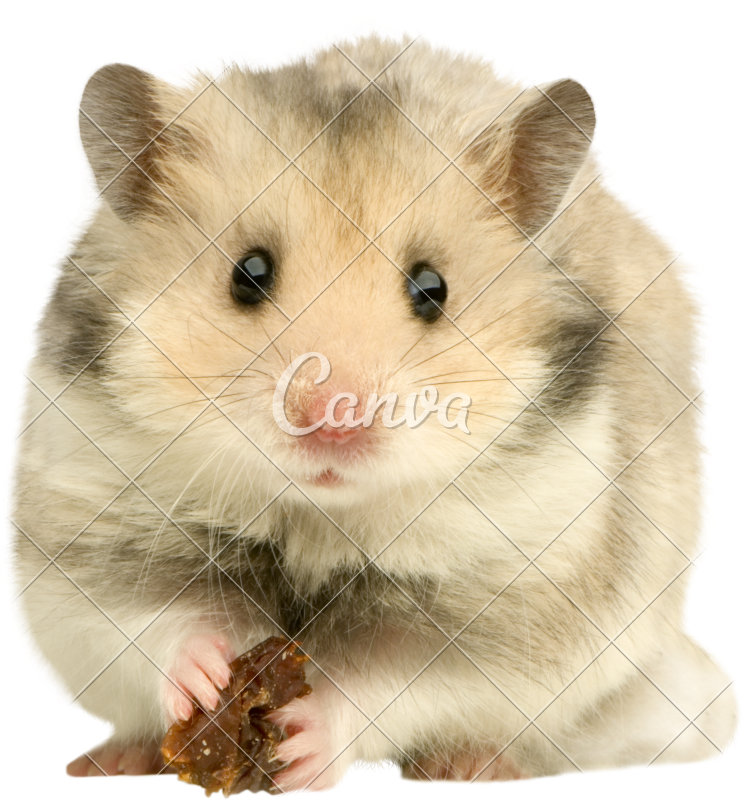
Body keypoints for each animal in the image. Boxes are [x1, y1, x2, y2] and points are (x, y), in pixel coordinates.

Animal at [5, 19, 740, 790]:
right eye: (247, 273)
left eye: (431, 287)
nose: (334, 426)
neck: (317, 512)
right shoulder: (88, 533)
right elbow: (150, 620)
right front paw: (207, 684)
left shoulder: (507, 592)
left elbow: (388, 681)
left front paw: (303, 745)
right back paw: (109, 760)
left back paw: (472, 765)